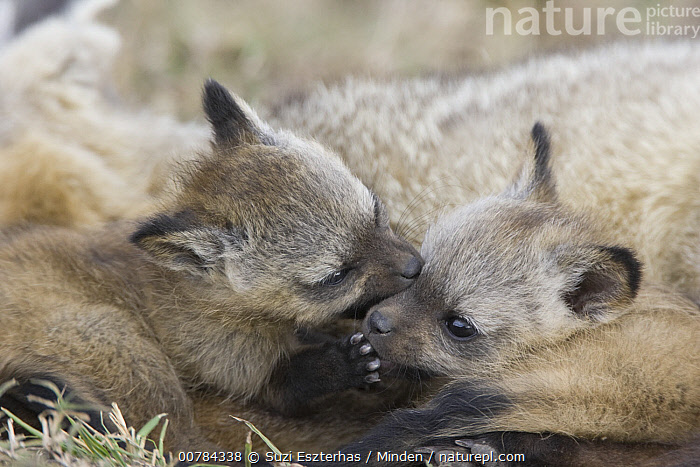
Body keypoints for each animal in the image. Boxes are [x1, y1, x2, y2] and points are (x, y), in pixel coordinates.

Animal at [0, 79, 423, 456]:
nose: (416, 267)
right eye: (335, 276)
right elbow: (285, 388)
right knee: (174, 445)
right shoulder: (231, 365)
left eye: (376, 212)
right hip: (128, 352)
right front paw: (342, 365)